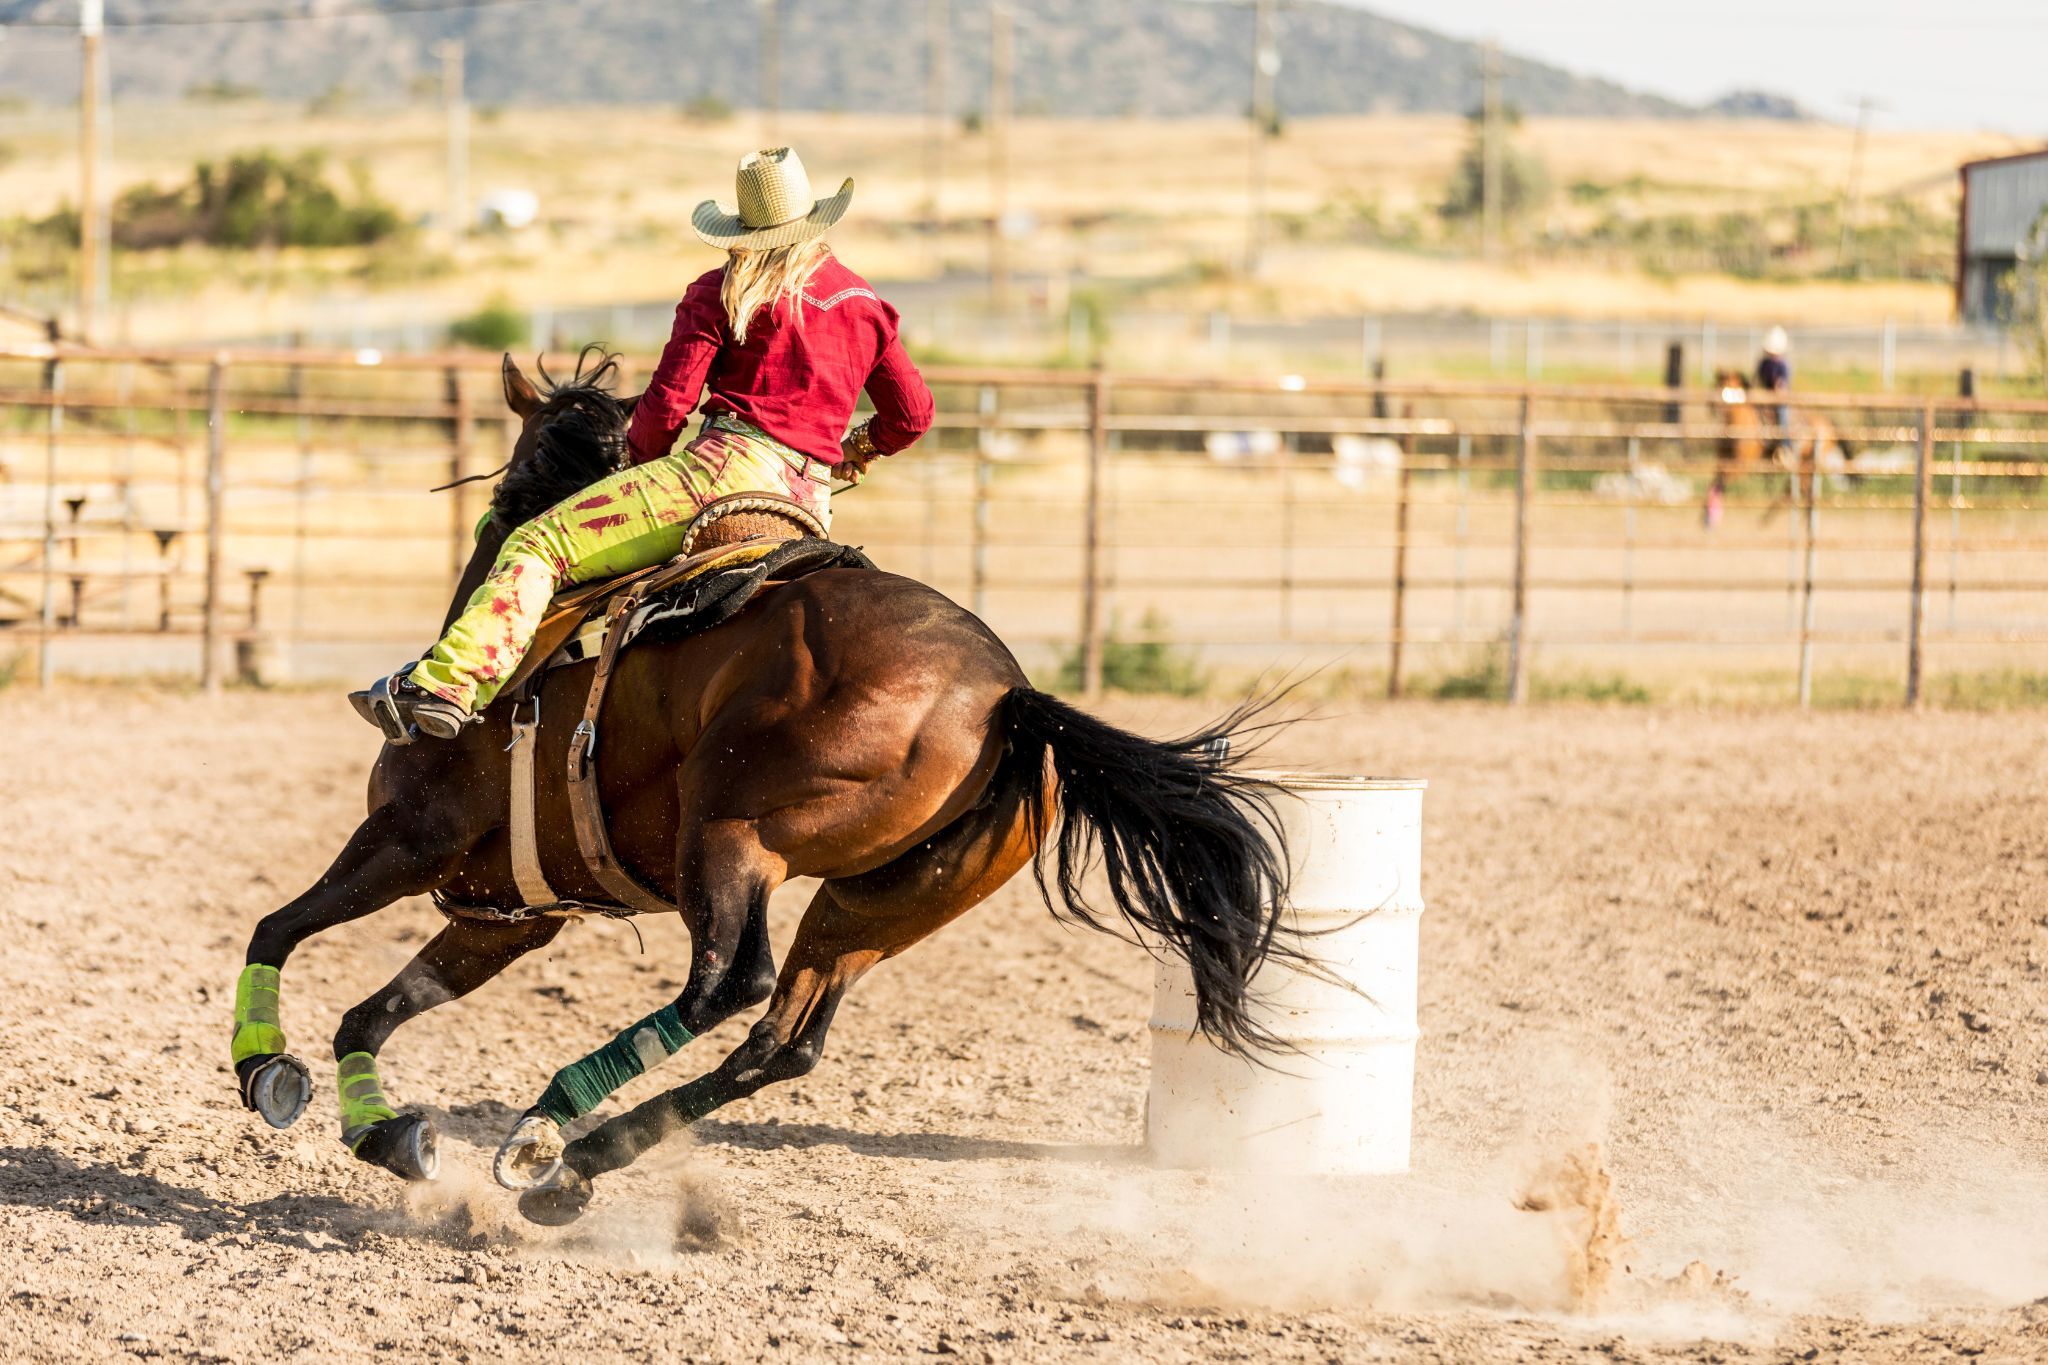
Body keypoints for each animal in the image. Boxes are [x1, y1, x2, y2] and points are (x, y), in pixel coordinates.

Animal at [231, 351, 1305, 1225]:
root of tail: (1008, 697)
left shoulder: (410, 836)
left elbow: (278, 927)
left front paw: (264, 1069)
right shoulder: (506, 916)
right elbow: (369, 1011)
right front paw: (388, 1133)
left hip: (733, 833)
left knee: (727, 981)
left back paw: (546, 1124)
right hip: (879, 904)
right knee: (782, 1038)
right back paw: (574, 1165)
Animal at [1705, 369, 1853, 529]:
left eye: (1725, 387)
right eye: (1714, 385)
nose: (1711, 405)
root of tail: (1828, 424)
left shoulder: (1742, 464)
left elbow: (1719, 483)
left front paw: (1708, 518)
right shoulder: (1724, 459)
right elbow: (1715, 483)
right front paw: (1708, 517)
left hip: (1805, 464)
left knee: (1800, 490)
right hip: (1804, 465)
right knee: (1799, 489)